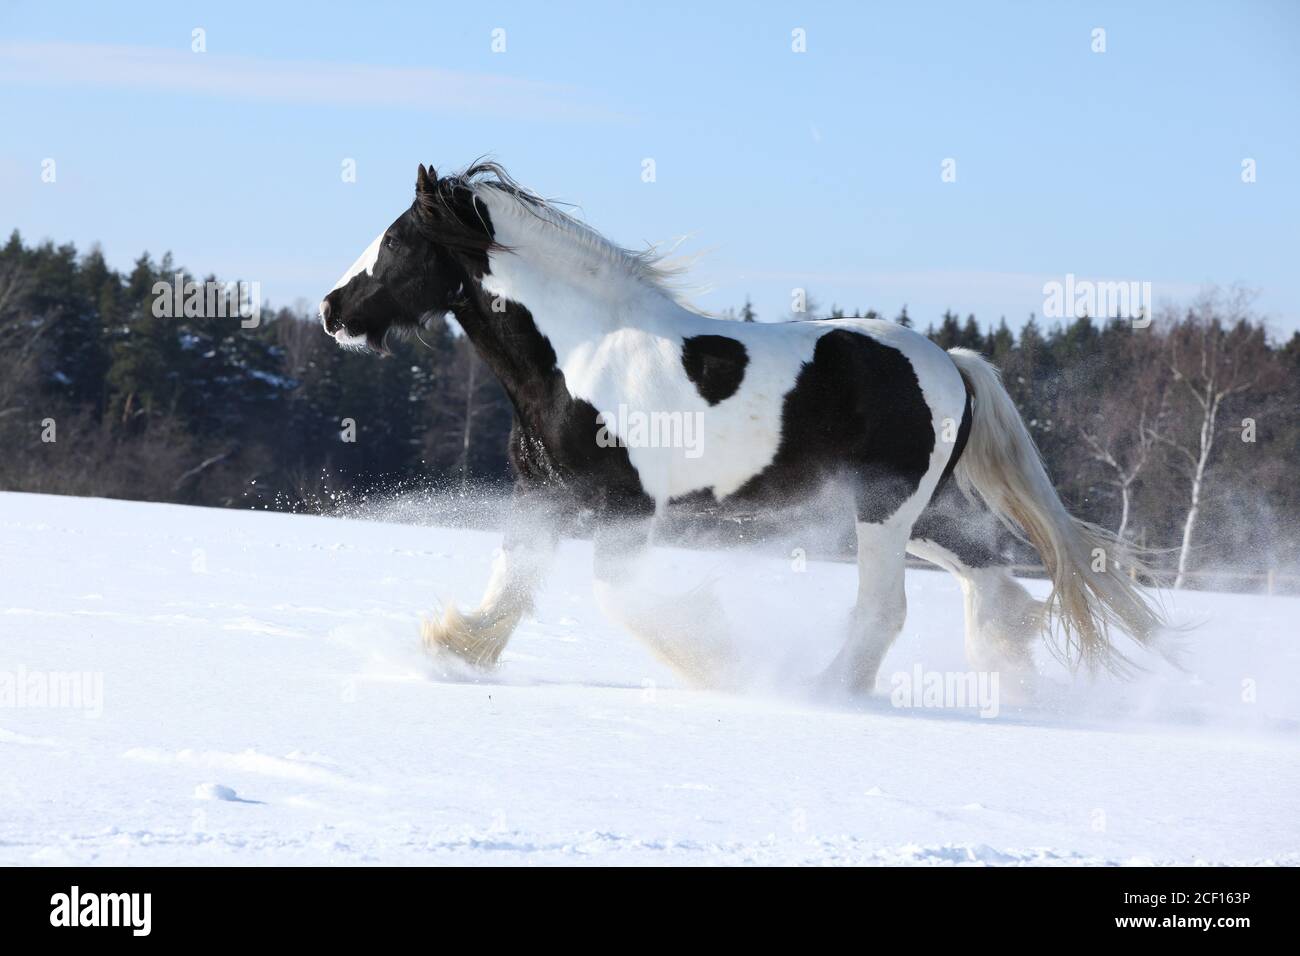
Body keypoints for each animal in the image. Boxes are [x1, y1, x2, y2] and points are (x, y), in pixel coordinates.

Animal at [318, 161, 1163, 693]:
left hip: (884, 511)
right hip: (924, 512)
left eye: (396, 239)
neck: (578, 353)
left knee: (886, 610)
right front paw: (447, 653)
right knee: (992, 579)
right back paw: (1008, 683)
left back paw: (828, 690)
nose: (331, 309)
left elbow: (621, 601)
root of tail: (952, 364)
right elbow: (508, 586)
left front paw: (719, 663)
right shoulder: (543, 496)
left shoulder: (627, 511)